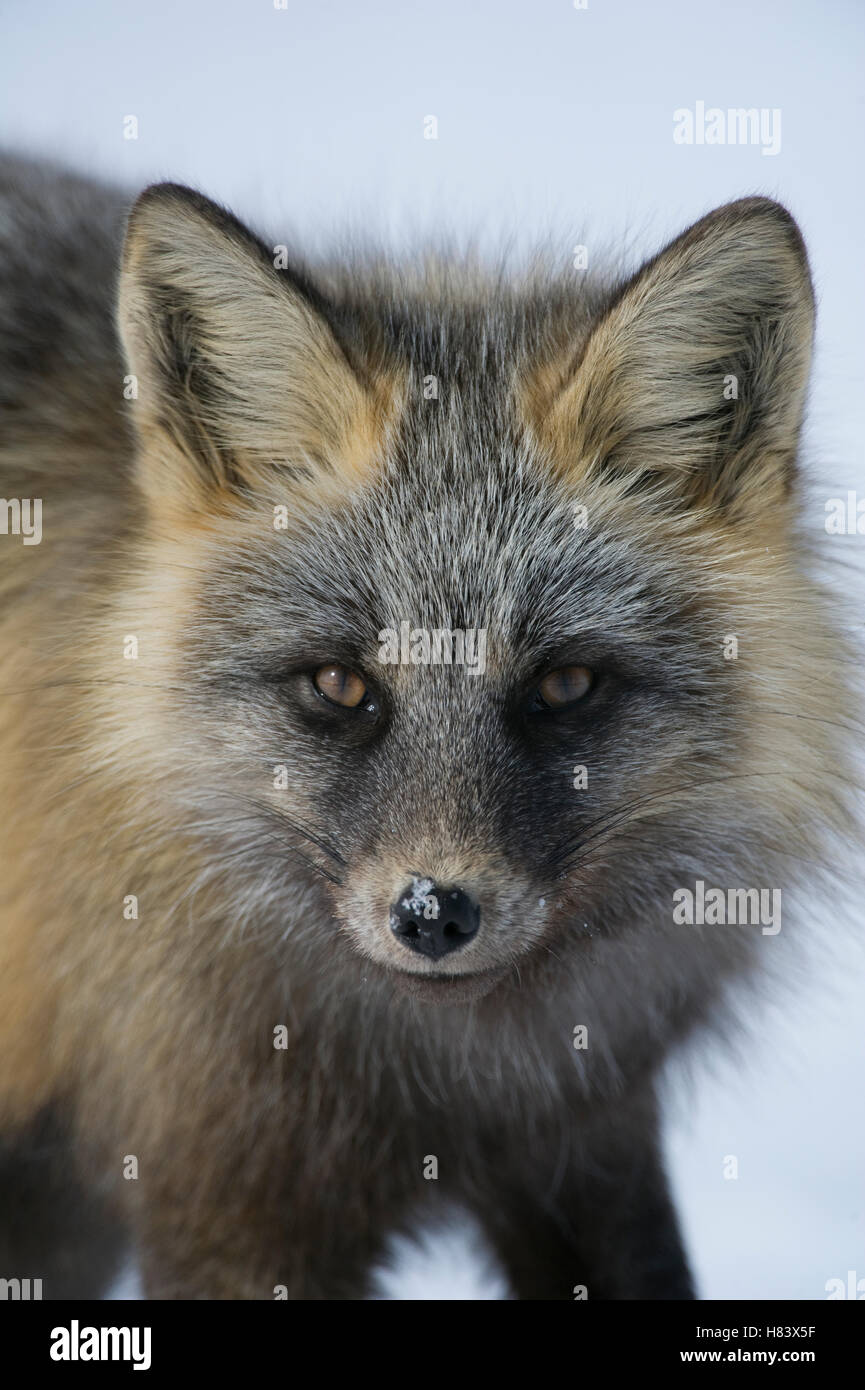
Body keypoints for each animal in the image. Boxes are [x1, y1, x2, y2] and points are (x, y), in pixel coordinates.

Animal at [0, 152, 856, 1300]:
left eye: (565, 684)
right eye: (338, 684)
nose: (432, 913)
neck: (450, 1089)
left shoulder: (584, 1139)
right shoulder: (227, 1192)